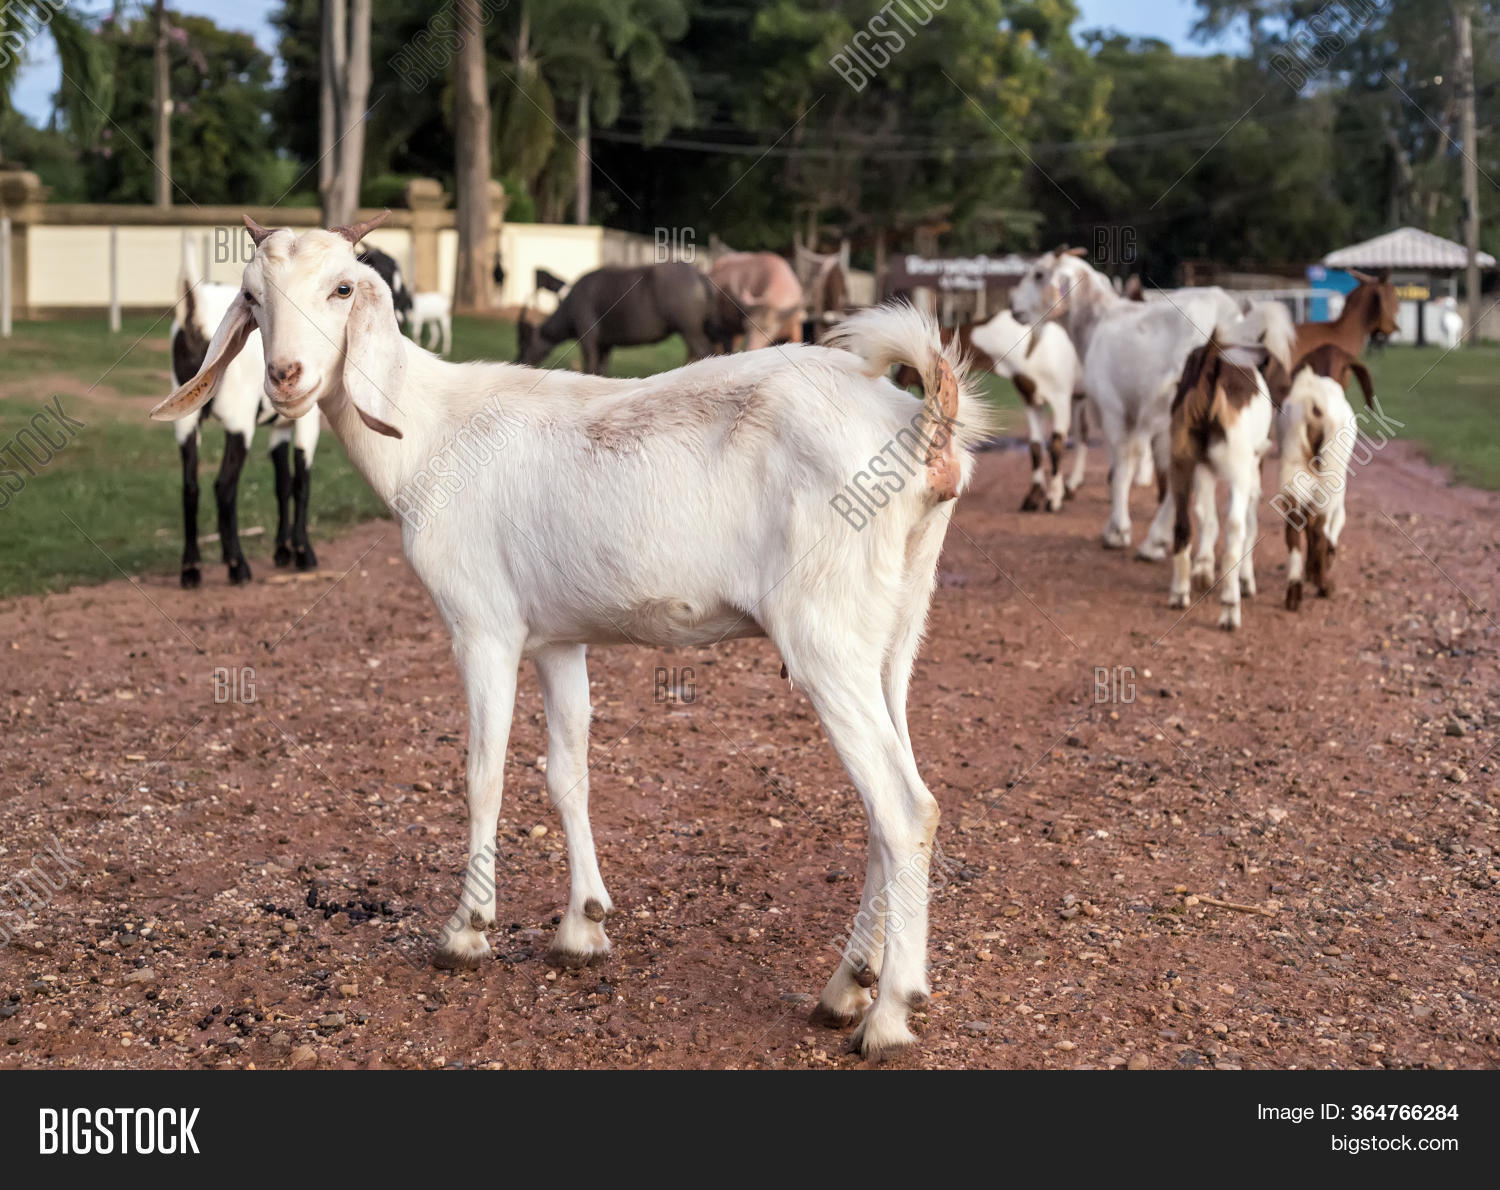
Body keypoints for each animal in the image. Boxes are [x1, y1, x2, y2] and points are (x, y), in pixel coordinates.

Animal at [168, 244, 321, 586]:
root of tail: (196, 315)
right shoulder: (309, 419)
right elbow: (302, 481)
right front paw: (303, 553)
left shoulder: (280, 426)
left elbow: (283, 483)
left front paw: (283, 551)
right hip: (239, 419)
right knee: (224, 486)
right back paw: (238, 566)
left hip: (184, 417)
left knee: (189, 486)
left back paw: (191, 570)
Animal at [968, 311, 1087, 512]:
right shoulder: (1031, 401)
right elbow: (1035, 447)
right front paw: (1033, 498)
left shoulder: (1060, 399)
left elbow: (1056, 446)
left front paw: (1054, 500)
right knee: (1082, 432)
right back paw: (1071, 487)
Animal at [1166, 334, 1274, 630]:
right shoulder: (1252, 468)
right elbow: (1249, 523)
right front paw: (1246, 582)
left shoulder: (1203, 466)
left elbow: (1206, 515)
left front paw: (1203, 570)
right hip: (1239, 468)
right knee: (1236, 526)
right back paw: (1230, 608)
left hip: (1180, 461)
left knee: (1184, 523)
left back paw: (1180, 593)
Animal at [1274, 344, 1375, 611]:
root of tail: (1313, 404)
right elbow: (1332, 525)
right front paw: (1321, 565)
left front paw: (1311, 570)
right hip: (1329, 475)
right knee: (1320, 529)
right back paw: (1323, 585)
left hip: (1293, 471)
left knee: (1294, 528)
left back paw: (1295, 589)